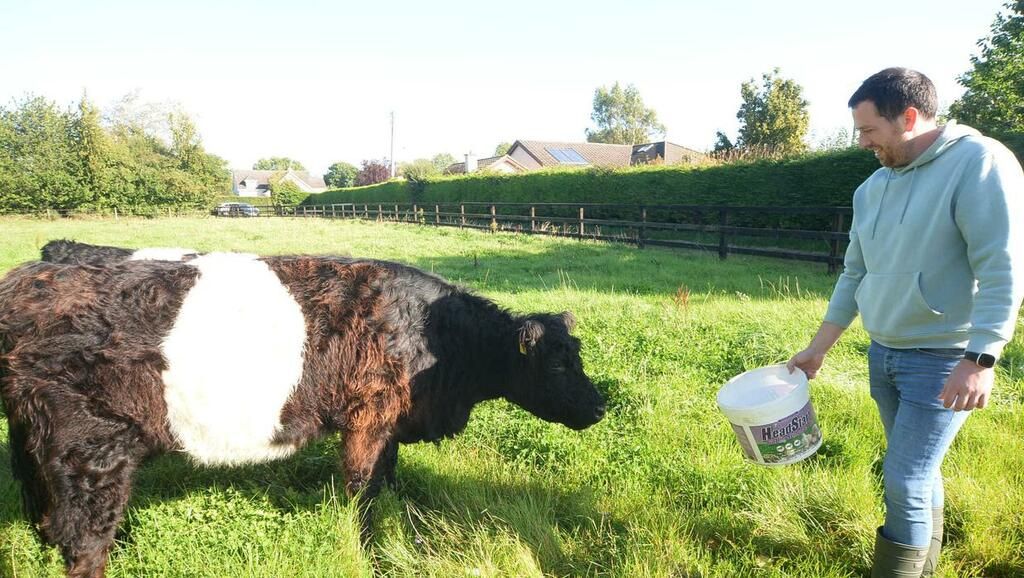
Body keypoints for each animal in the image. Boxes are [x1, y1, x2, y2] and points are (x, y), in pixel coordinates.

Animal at [0, 252, 605, 578]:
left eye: (575, 355)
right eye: (557, 364)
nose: (599, 405)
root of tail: (26, 279)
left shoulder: (387, 425)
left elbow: (388, 482)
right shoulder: (368, 418)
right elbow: (363, 493)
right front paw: (367, 550)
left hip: (37, 441)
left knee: (49, 518)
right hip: (92, 447)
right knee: (84, 538)